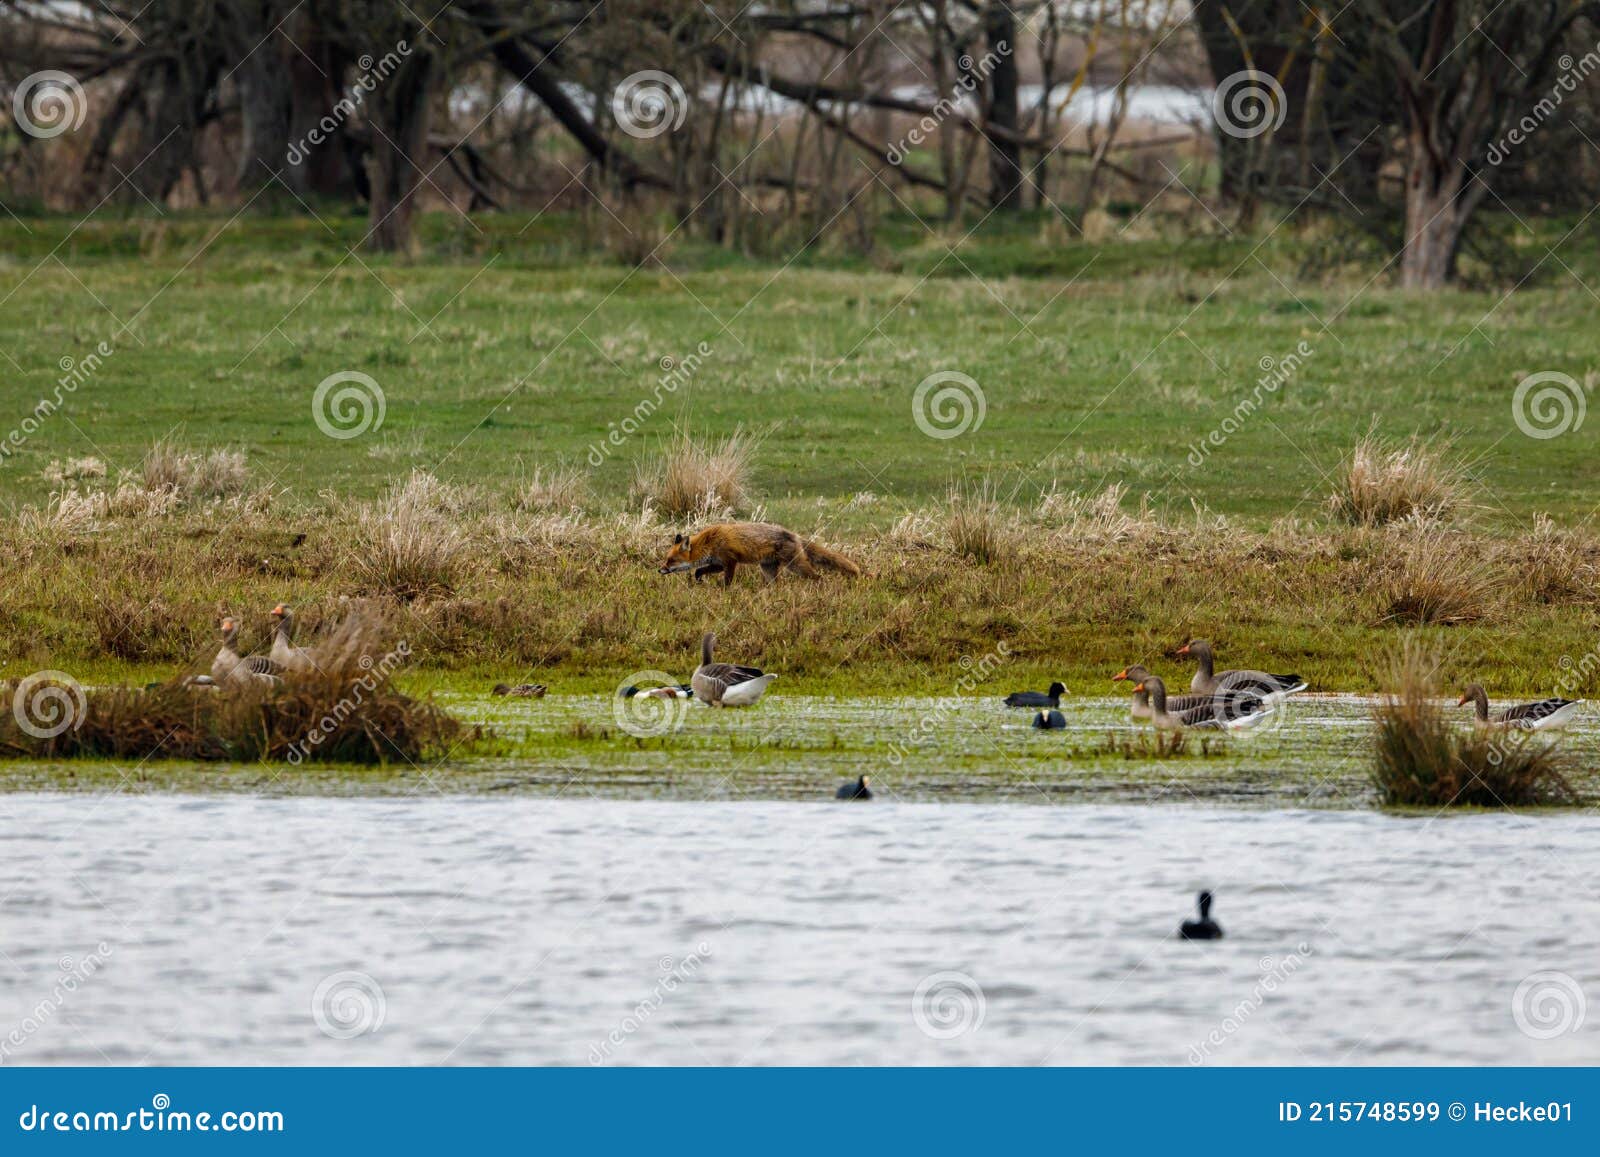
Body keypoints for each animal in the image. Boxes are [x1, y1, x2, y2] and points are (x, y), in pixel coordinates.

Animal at [658, 521, 861, 586]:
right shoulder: (718, 562)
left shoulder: (730, 561)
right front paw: (699, 579)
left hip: (796, 566)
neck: (709, 541)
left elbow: (727, 580)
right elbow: (699, 570)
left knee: (817, 577)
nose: (660, 570)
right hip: (768, 569)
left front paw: (725, 591)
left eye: (671, 560)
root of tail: (793, 534)